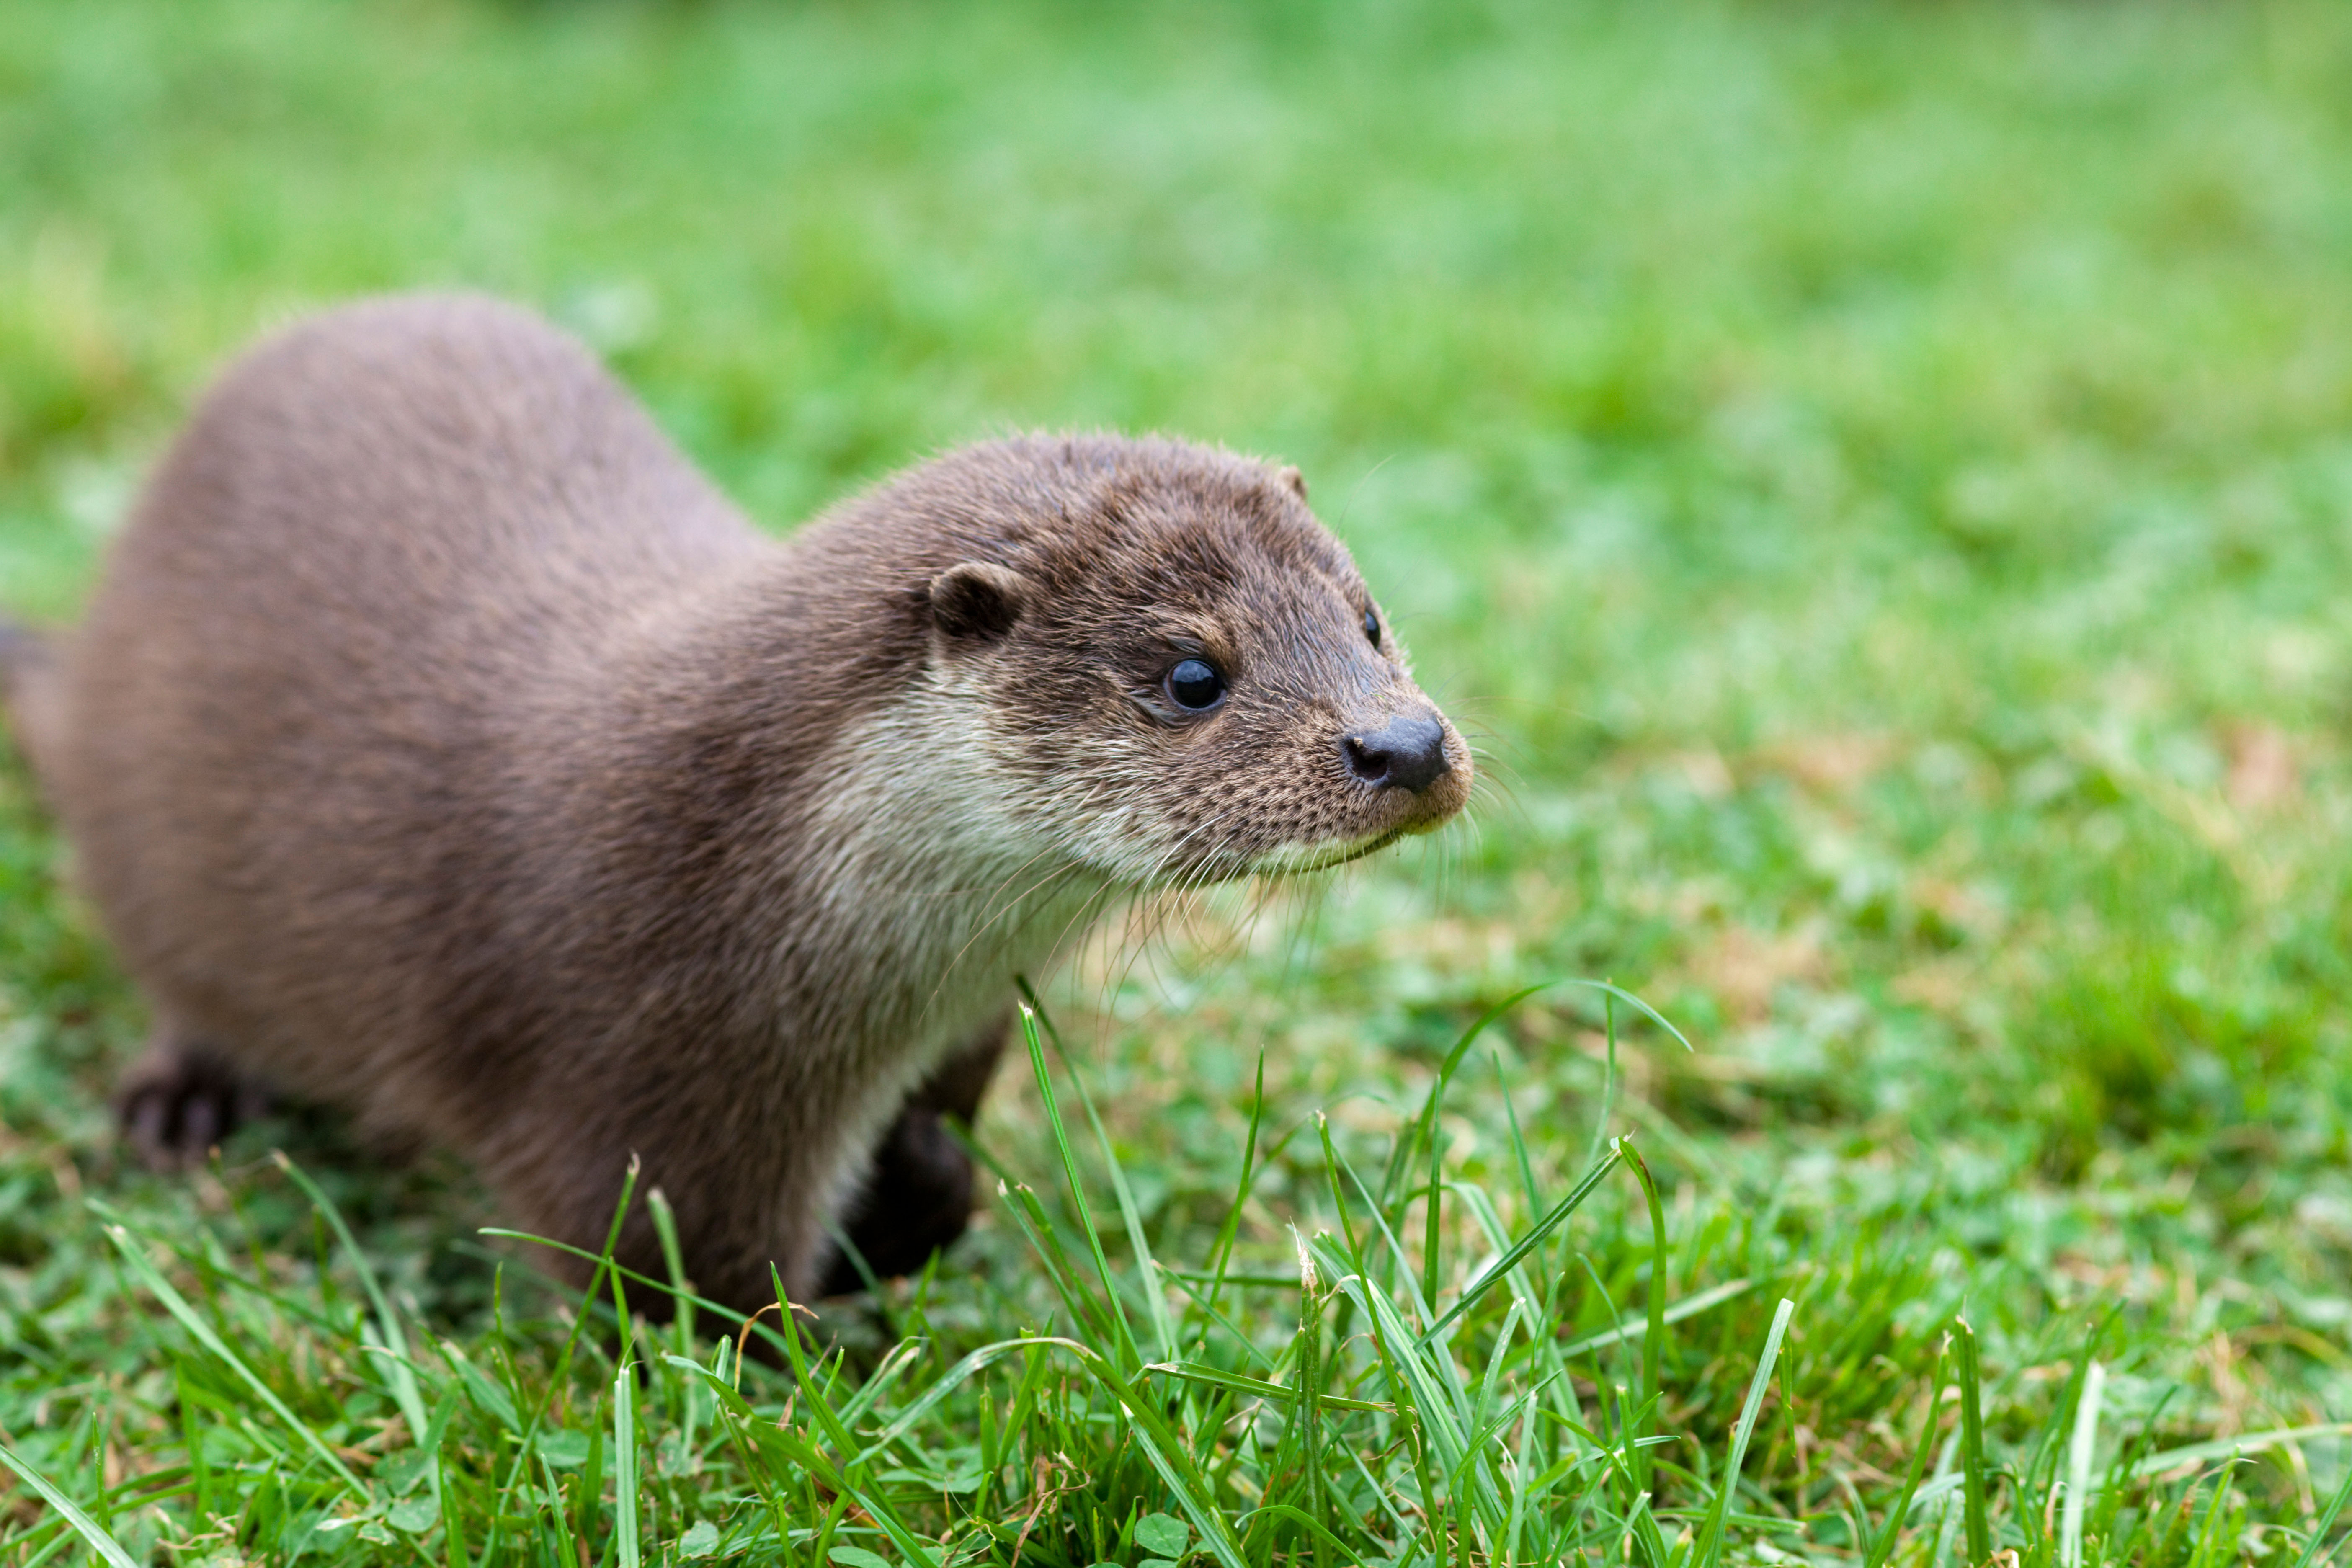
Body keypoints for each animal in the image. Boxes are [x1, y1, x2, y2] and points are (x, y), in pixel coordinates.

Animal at [0, 296, 1472, 1313]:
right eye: (1190, 676)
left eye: (1367, 618)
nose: (1404, 745)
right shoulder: (631, 1092)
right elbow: (676, 1295)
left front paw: (920, 1195)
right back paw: (183, 1106)